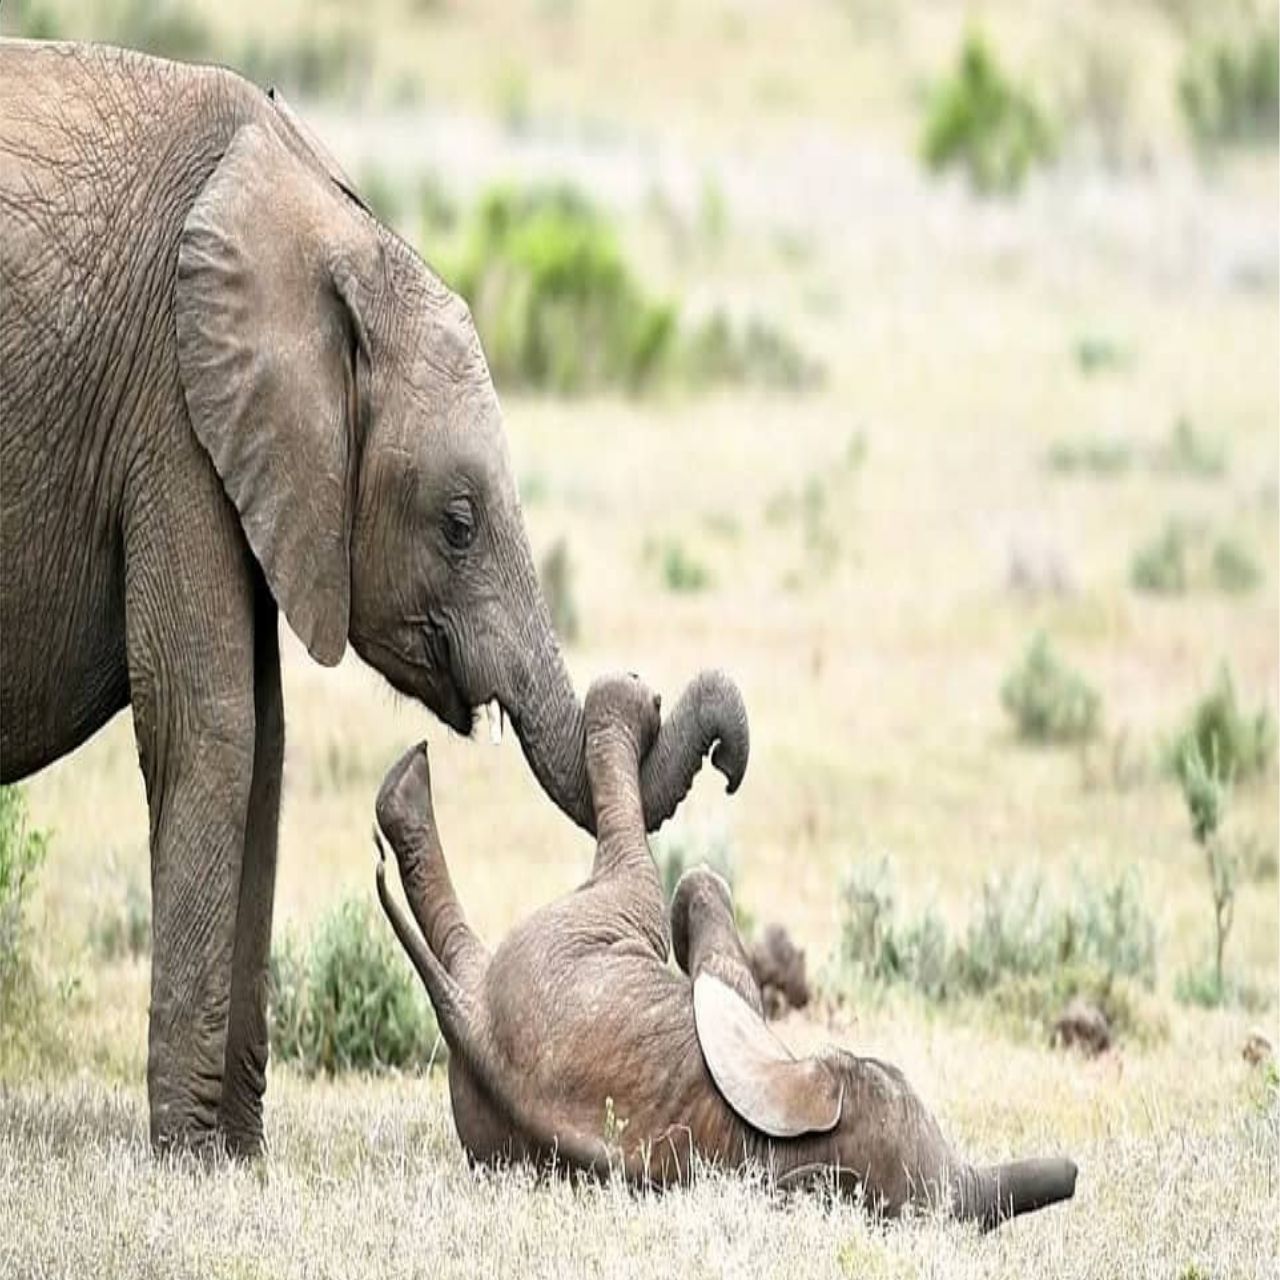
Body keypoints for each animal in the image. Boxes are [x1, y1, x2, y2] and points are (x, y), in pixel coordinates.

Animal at [0, 40, 747, 1156]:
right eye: (457, 522)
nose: (656, 699)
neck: (331, 232)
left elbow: (262, 743)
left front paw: (235, 1158)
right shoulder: (169, 408)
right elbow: (207, 722)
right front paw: (187, 1156)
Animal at [374, 672, 1079, 1228]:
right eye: (885, 1067)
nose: (1074, 1171)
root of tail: (470, 1026)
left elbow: (703, 899)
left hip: (574, 941)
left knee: (628, 876)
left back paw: (414, 784)